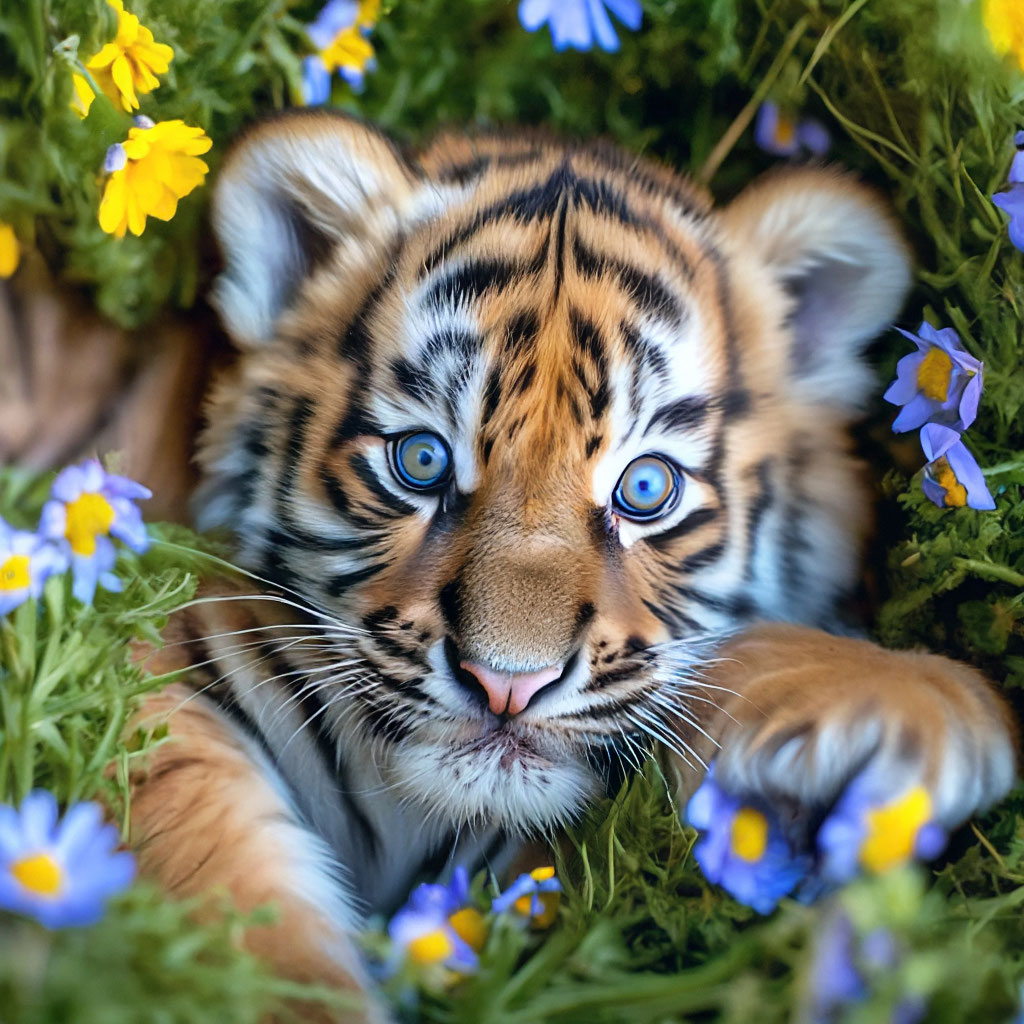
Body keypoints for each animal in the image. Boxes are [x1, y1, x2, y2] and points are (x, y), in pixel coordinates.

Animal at [127, 111, 1017, 1018]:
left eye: (647, 488)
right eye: (420, 461)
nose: (505, 684)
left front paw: (912, 697)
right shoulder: (172, 666)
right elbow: (233, 907)